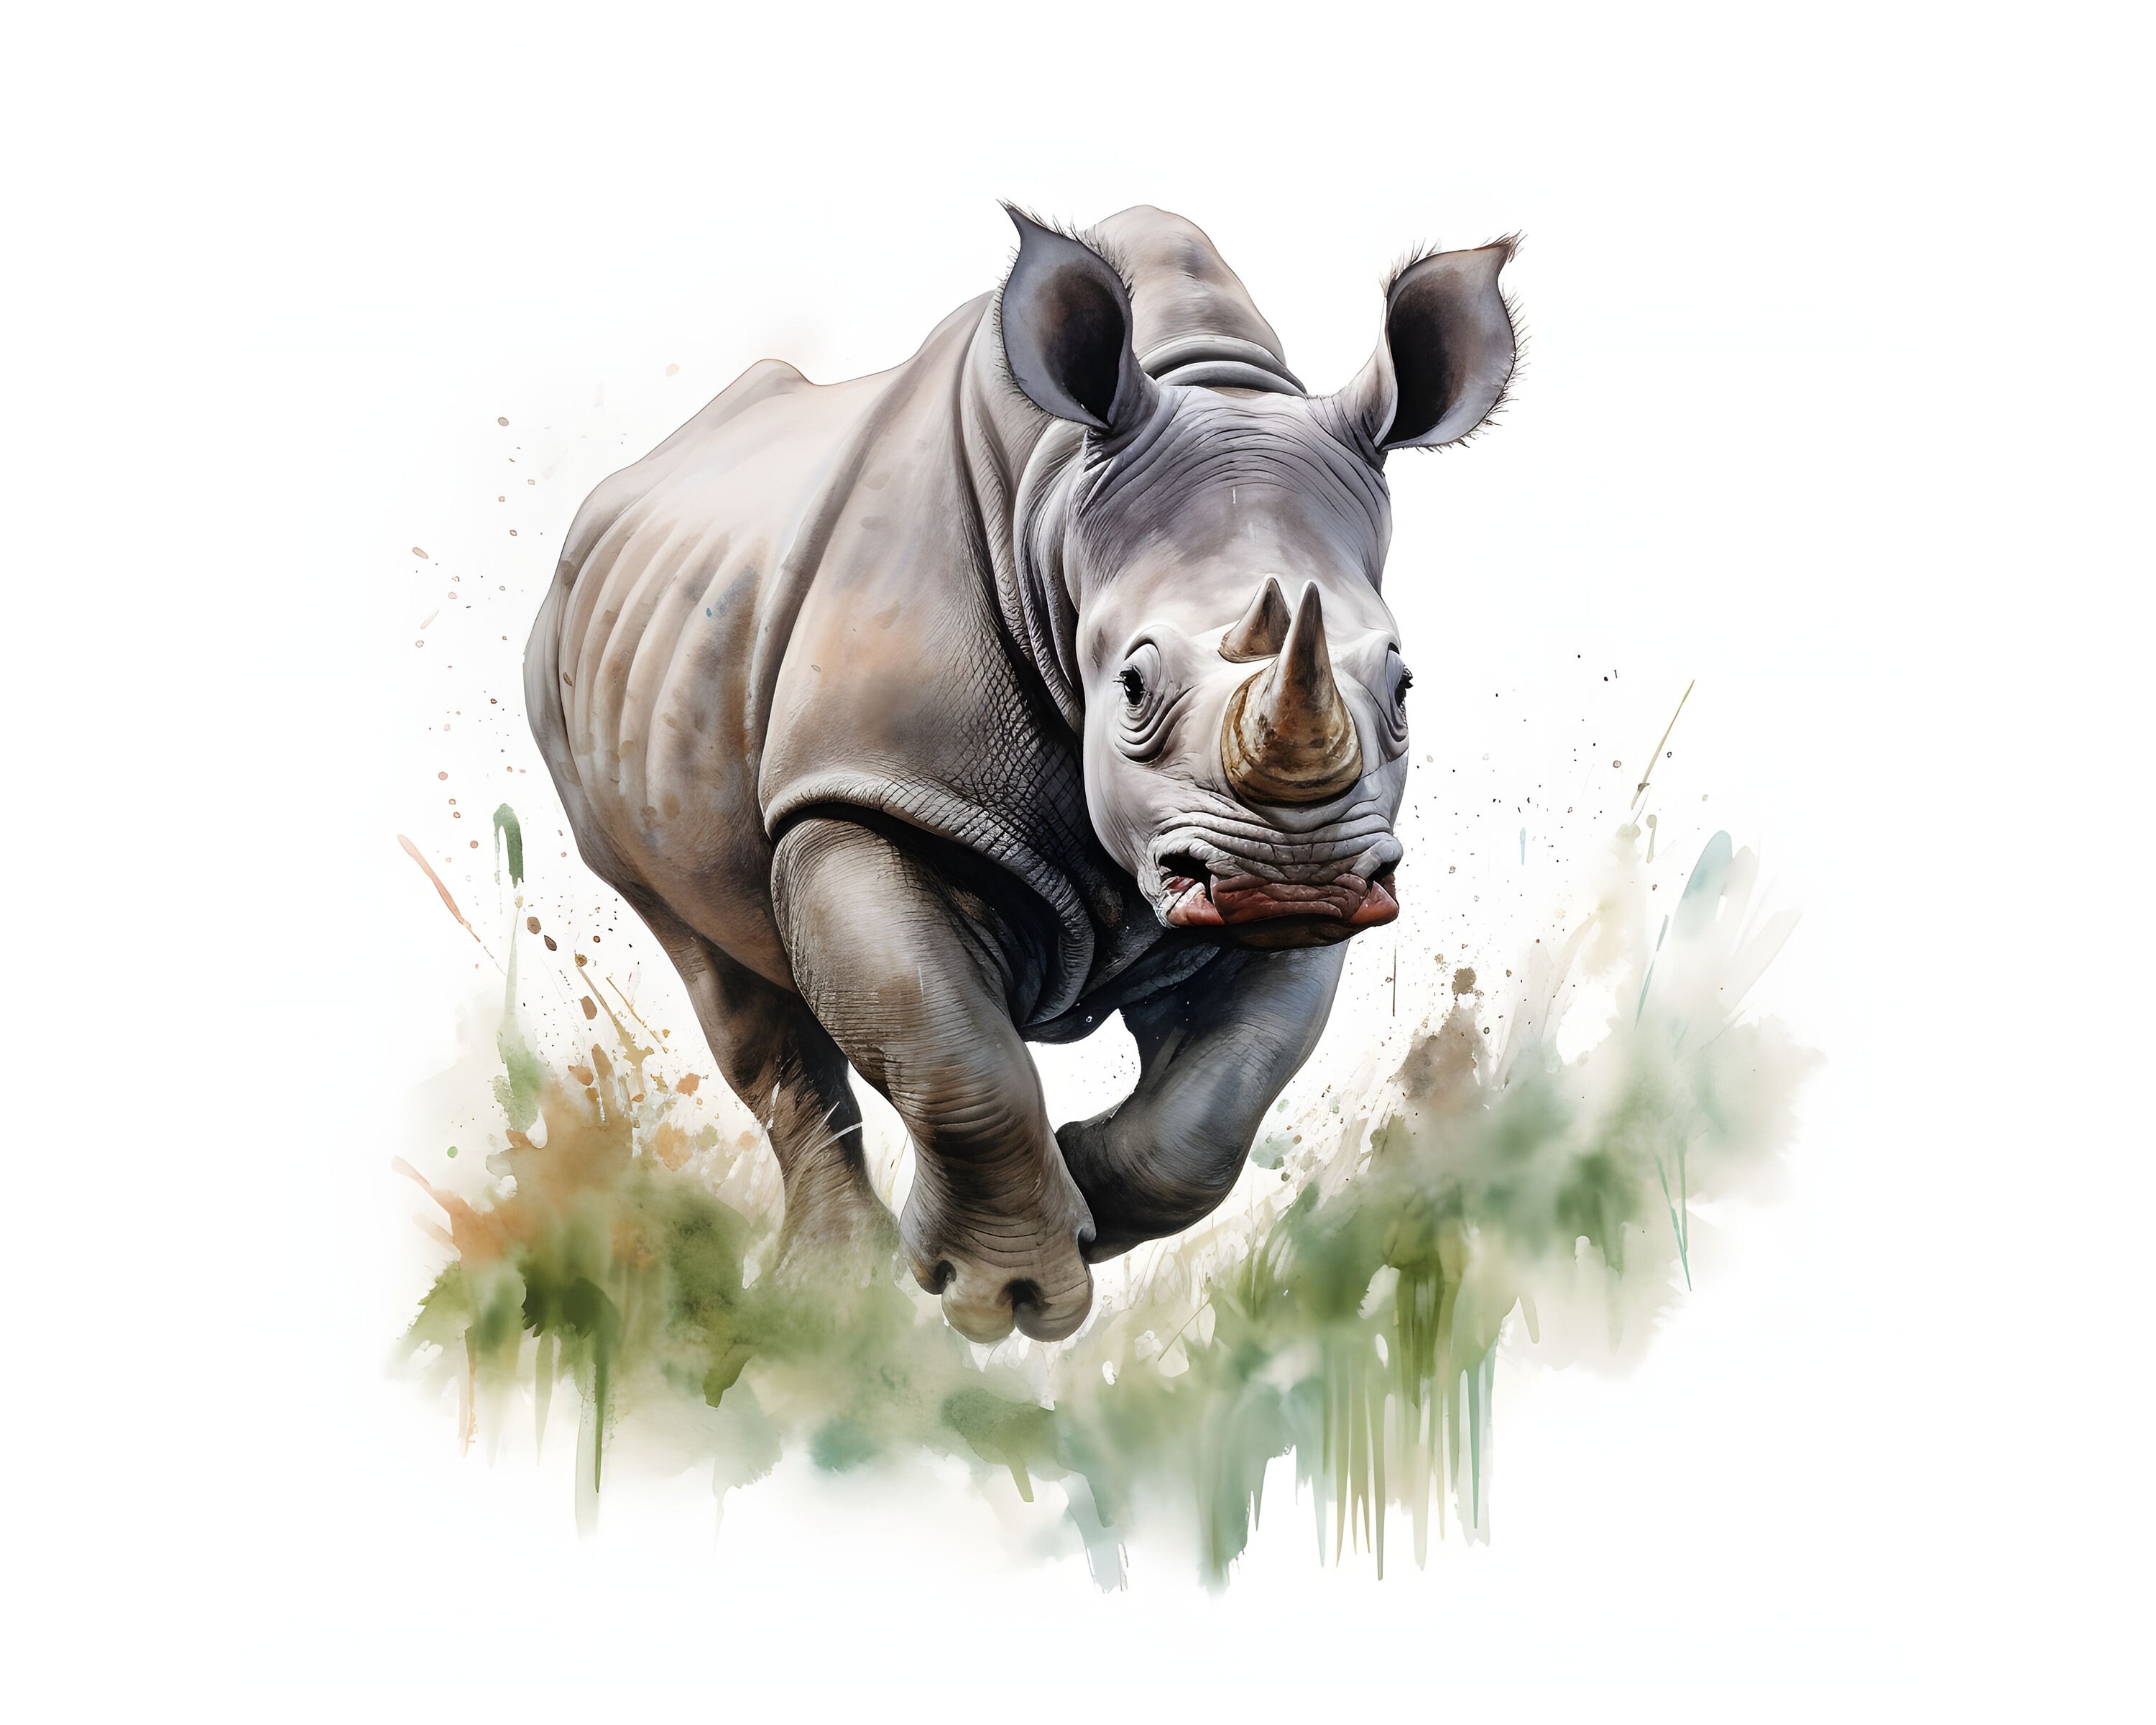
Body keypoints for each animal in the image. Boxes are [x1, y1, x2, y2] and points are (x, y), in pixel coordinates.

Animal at [525, 205, 1518, 1343]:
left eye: (1401, 685)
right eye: (1133, 684)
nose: (1289, 879)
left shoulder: (1321, 859)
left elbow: (1228, 1092)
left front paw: (1091, 1197)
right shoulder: (866, 787)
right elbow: (950, 1048)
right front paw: (1006, 1301)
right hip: (572, 687)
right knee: (714, 964)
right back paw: (828, 1299)